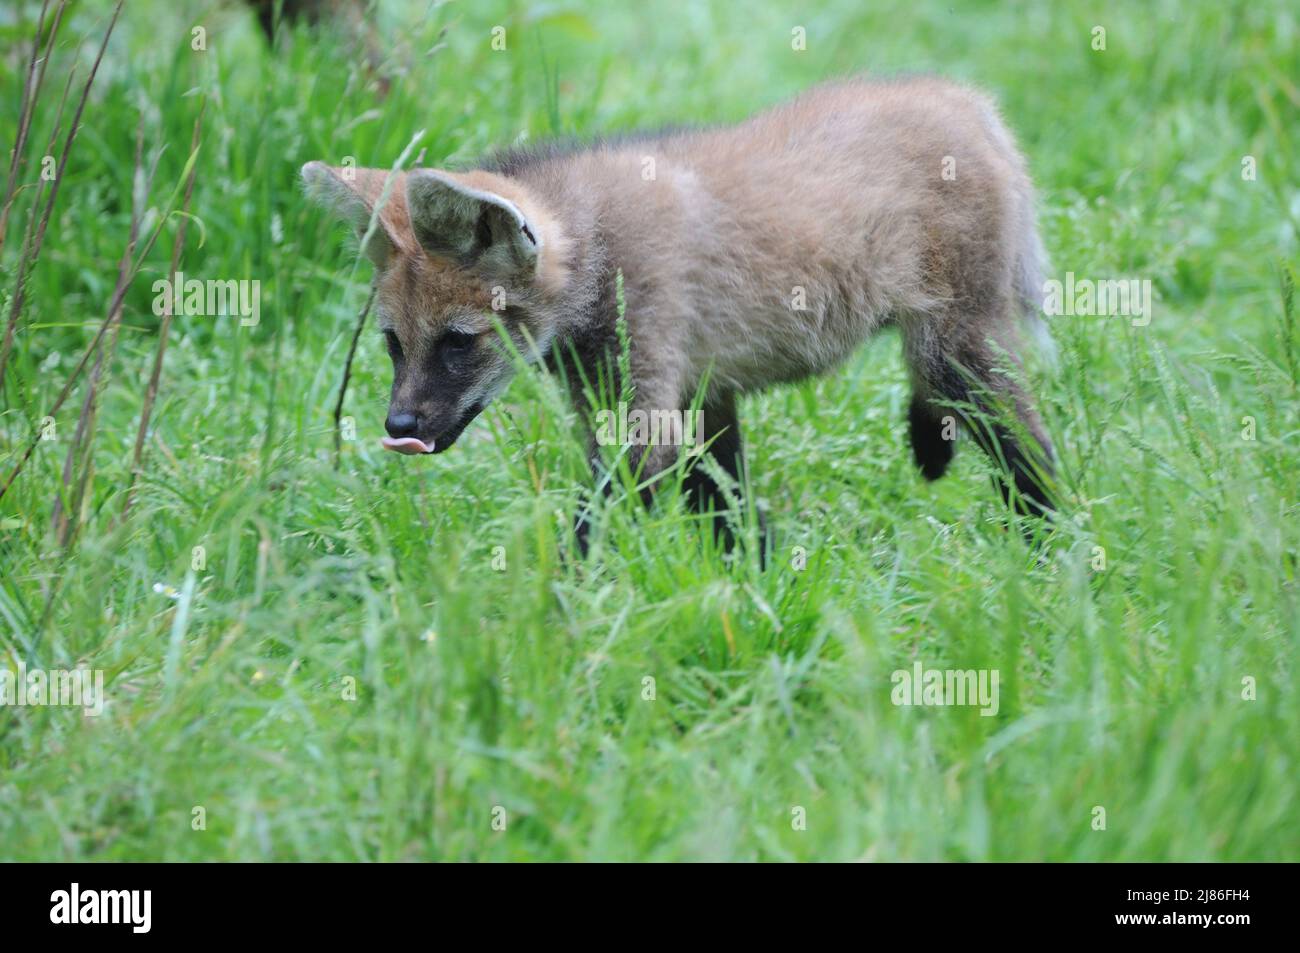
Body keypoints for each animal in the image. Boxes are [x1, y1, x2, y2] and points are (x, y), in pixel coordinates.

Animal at [303, 76, 1056, 557]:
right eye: (394, 345)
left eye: (459, 345)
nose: (398, 426)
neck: (595, 254)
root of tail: (968, 101)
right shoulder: (695, 395)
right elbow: (730, 513)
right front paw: (759, 586)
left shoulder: (649, 409)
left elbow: (595, 528)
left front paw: (559, 619)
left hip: (957, 346)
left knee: (1030, 450)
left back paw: (1049, 550)